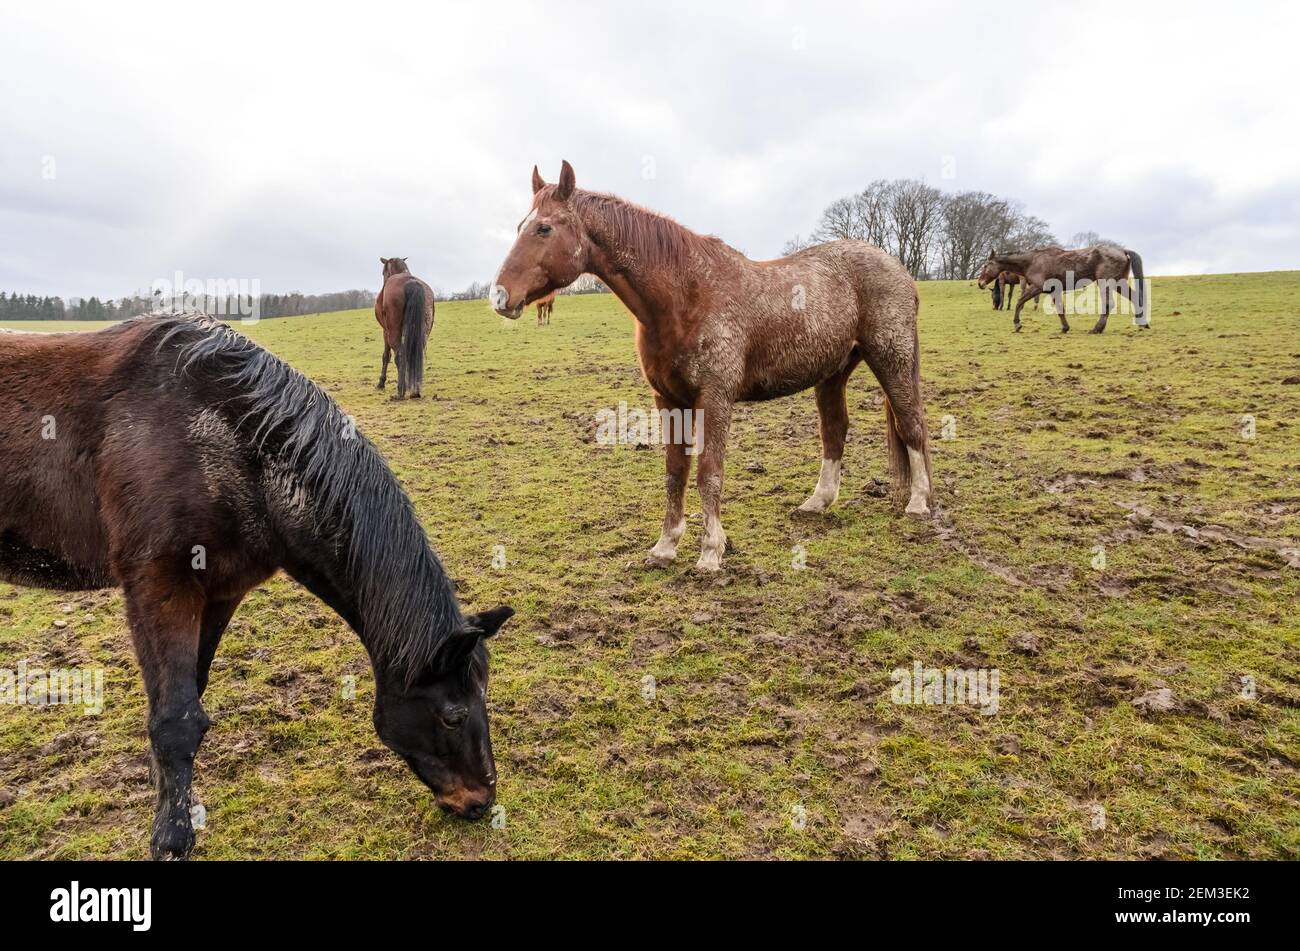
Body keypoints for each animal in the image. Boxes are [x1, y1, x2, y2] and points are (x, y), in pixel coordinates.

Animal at [0, 316, 513, 859]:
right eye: (453, 715)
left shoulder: (222, 590)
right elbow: (175, 719)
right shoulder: (159, 584)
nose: (479, 801)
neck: (227, 440)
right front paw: (171, 837)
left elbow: (189, 698)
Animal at [374, 257, 435, 398]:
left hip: (393, 332)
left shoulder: (385, 331)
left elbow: (386, 356)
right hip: (423, 332)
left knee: (400, 355)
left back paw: (400, 391)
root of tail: (411, 282)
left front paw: (381, 383)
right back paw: (415, 390)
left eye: (383, 273)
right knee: (415, 354)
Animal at [490, 161, 933, 572]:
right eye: (521, 225)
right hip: (832, 373)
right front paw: (665, 547)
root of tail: (897, 269)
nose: (499, 296)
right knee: (835, 431)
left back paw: (919, 503)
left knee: (910, 424)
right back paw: (817, 502)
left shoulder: (715, 399)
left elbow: (708, 472)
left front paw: (710, 553)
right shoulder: (668, 400)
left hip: (891, 358)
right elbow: (675, 473)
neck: (687, 295)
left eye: (544, 229)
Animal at [977, 245, 1147, 333]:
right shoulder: (1053, 290)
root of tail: (1122, 250)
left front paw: (1017, 324)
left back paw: (1097, 328)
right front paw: (1065, 327)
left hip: (1106, 282)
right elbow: (1060, 309)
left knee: (1108, 304)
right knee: (1135, 298)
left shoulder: (1038, 287)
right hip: (1119, 283)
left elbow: (1020, 301)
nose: (980, 283)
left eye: (985, 265)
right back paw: (1142, 323)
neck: (1032, 261)